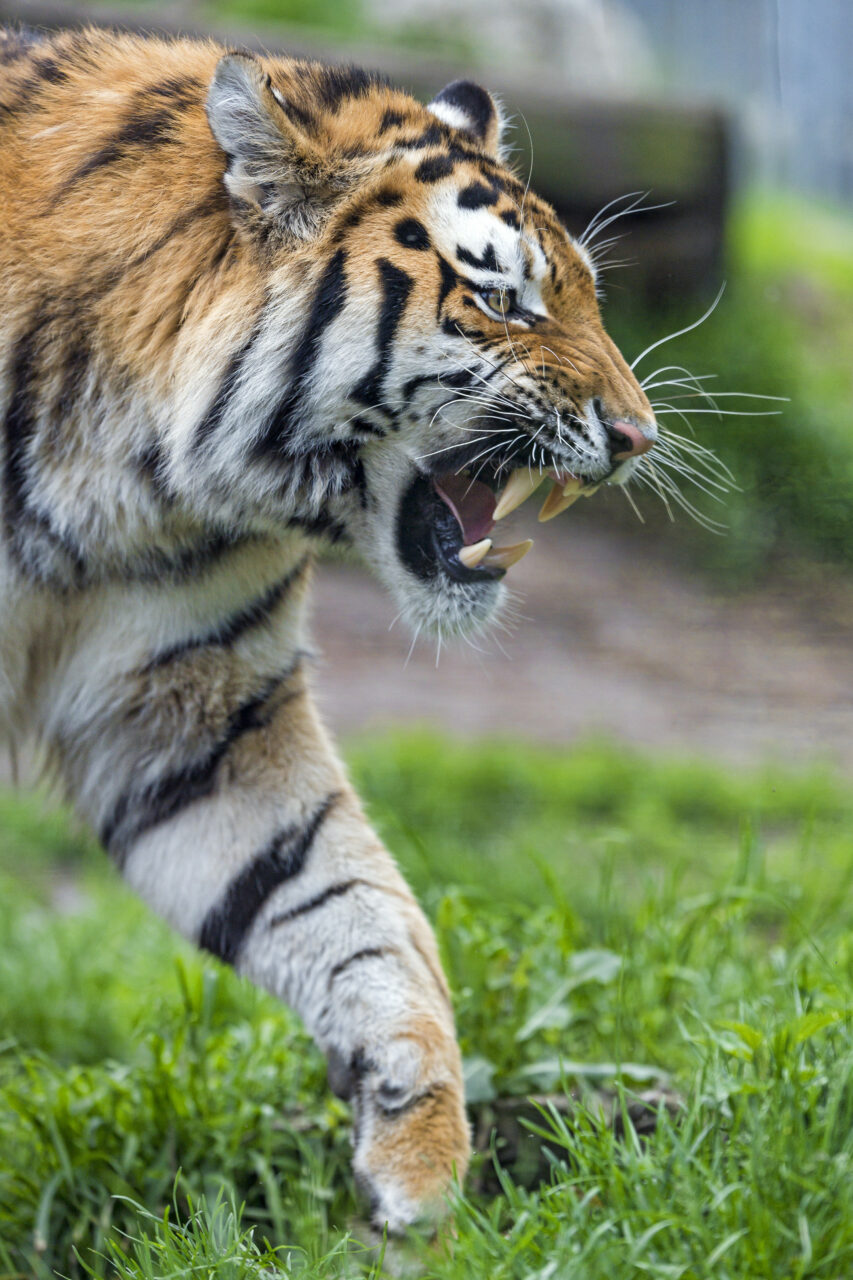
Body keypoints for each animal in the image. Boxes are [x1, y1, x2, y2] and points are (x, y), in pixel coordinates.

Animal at [0, 24, 656, 1232]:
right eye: (504, 301)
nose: (638, 437)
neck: (122, 487)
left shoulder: (194, 713)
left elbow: (346, 902)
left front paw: (419, 1146)